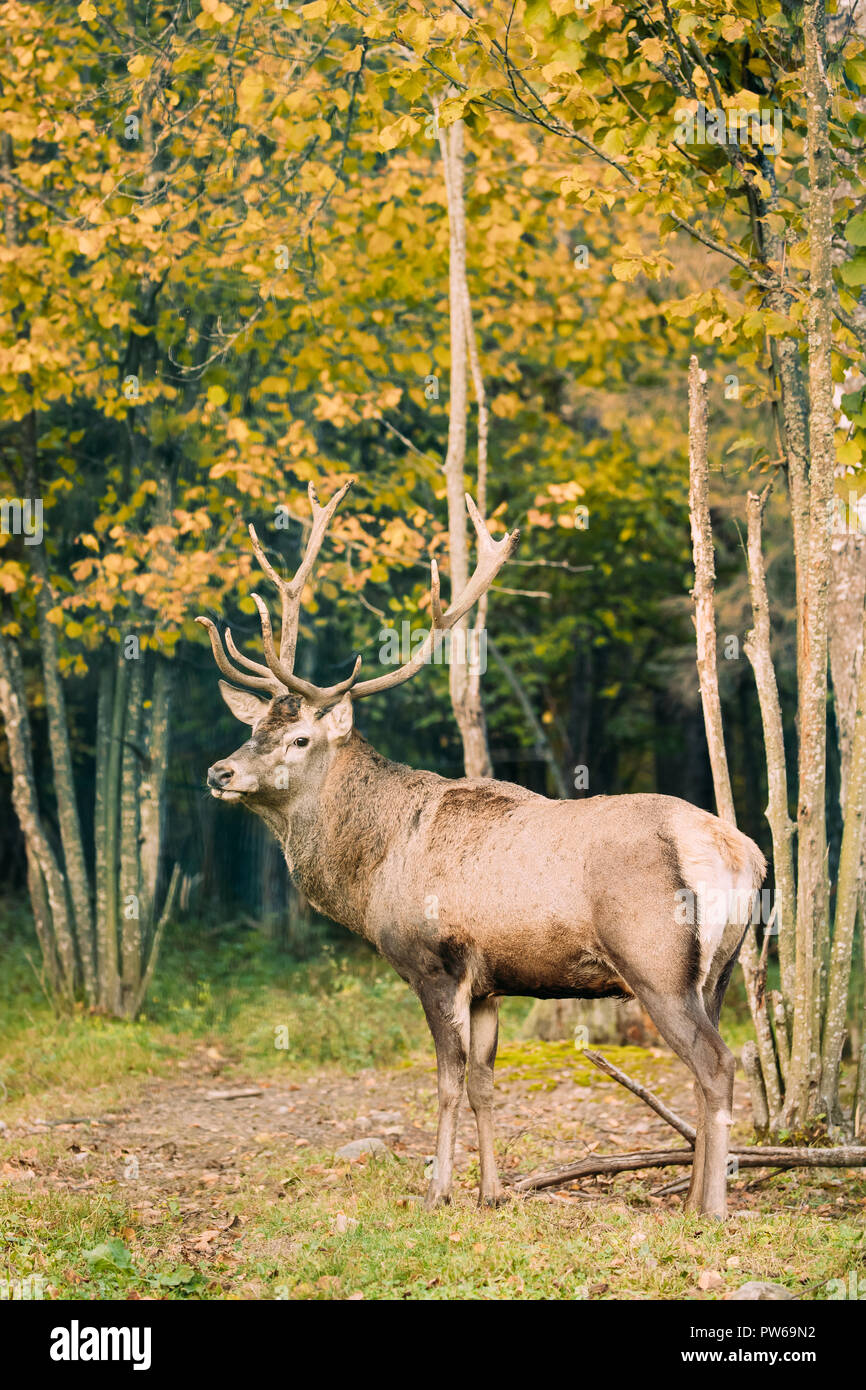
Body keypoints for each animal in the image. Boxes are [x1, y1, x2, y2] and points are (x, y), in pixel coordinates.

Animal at [198, 478, 766, 1220]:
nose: (220, 772)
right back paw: (695, 1196)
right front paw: (492, 1191)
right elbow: (485, 1084)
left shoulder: (434, 961)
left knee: (717, 1065)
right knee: (710, 1064)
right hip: (720, 971)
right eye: (254, 728)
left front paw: (437, 1190)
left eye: (299, 739)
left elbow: (444, 1082)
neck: (374, 867)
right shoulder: (489, 981)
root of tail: (743, 854)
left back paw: (711, 1209)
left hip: (657, 962)